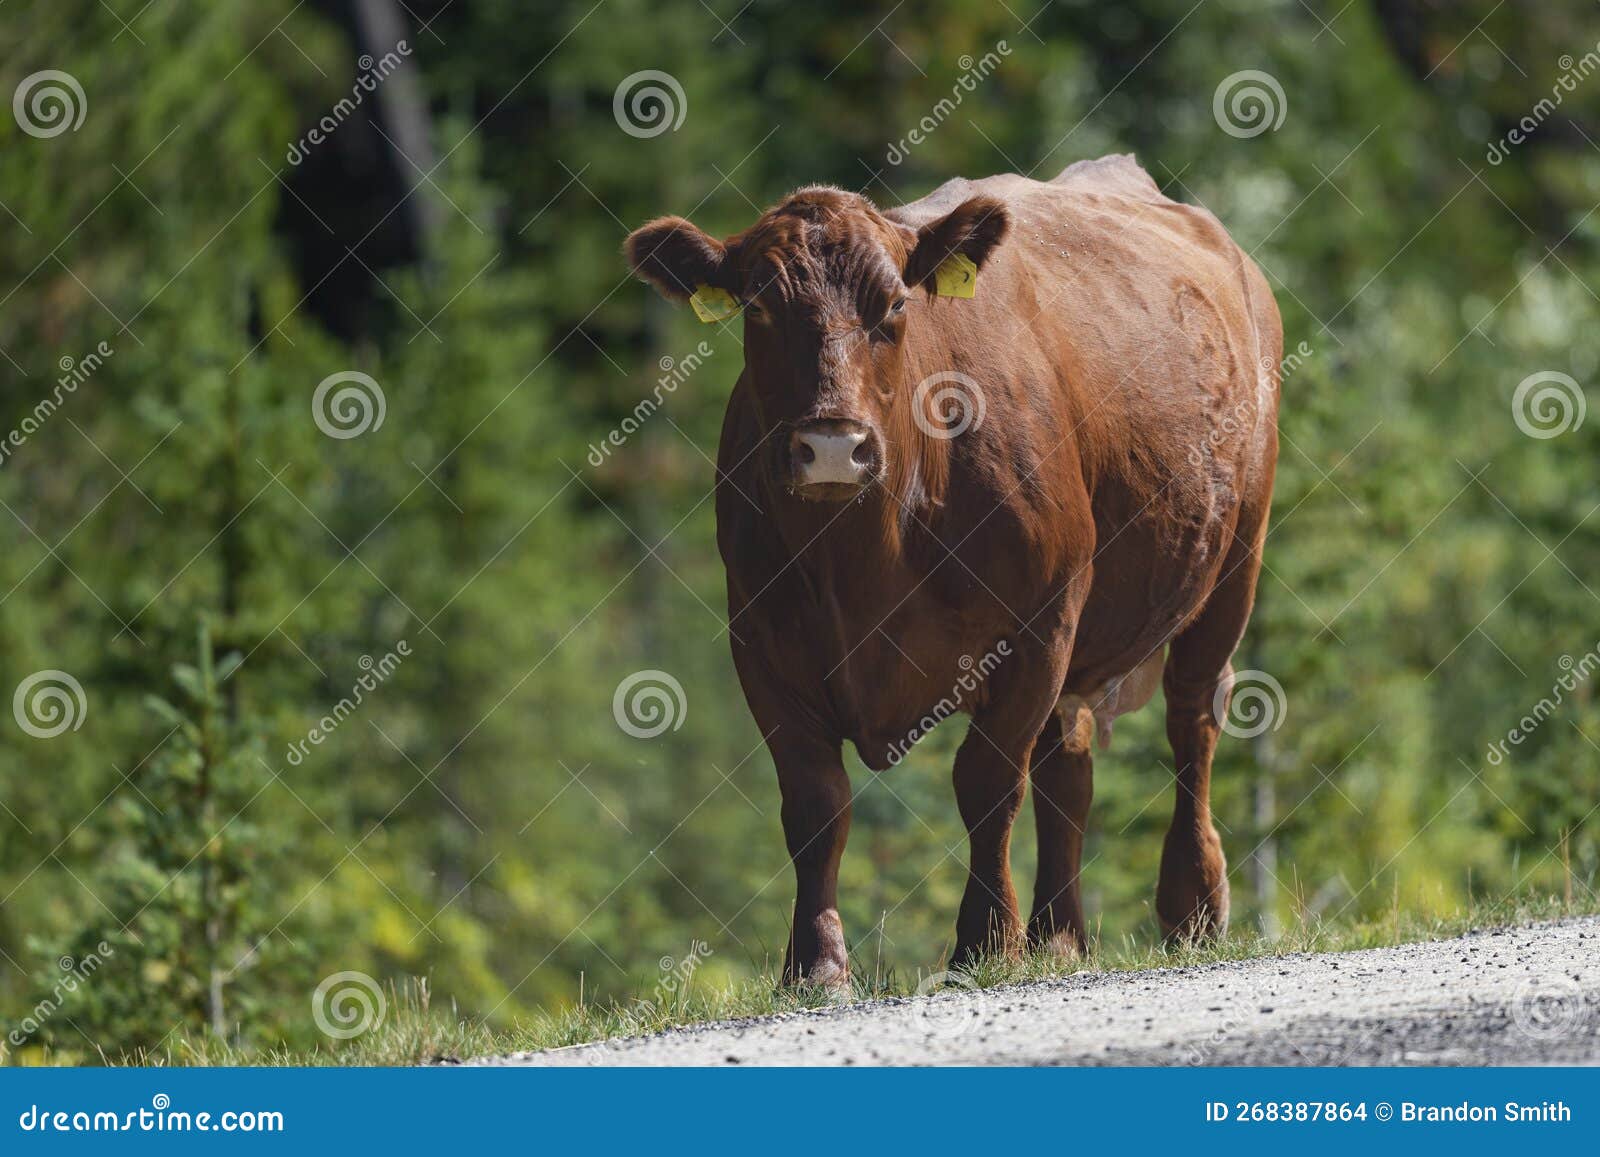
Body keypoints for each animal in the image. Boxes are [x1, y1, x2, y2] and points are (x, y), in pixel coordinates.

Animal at [625, 154, 1281, 987]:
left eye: (895, 304)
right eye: (760, 306)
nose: (832, 446)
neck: (861, 558)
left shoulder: (1040, 621)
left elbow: (988, 782)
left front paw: (984, 940)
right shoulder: (760, 639)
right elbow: (815, 803)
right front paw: (816, 964)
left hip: (1234, 561)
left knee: (1191, 723)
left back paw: (1192, 907)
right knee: (1070, 770)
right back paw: (1061, 933)